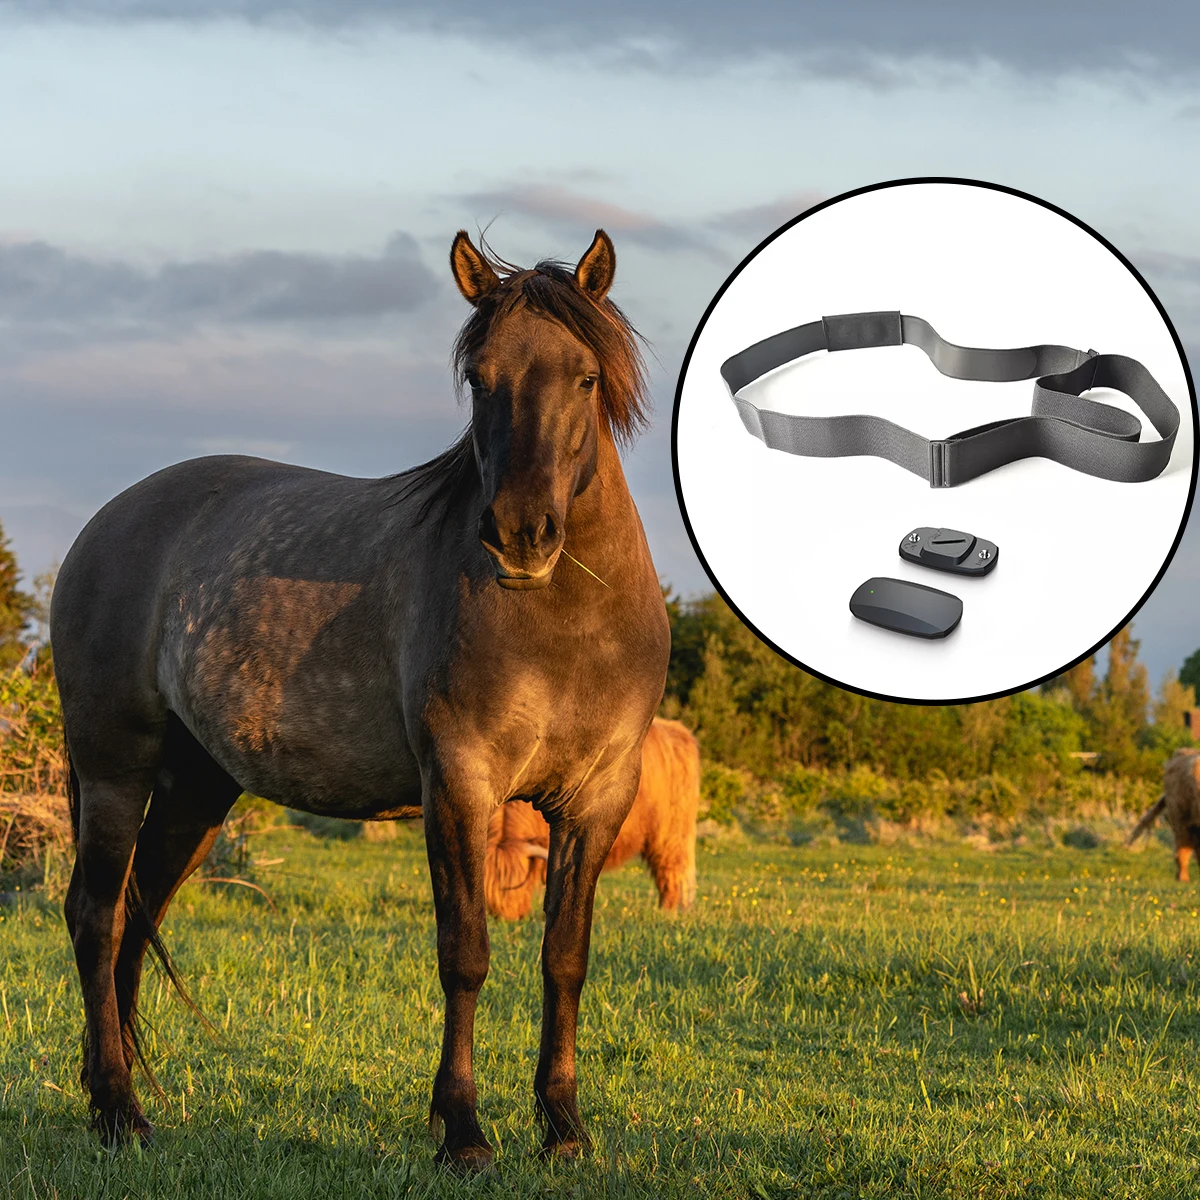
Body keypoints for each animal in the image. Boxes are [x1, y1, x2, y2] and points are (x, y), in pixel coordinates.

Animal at [50, 228, 671, 1171]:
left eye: (586, 377)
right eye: (480, 377)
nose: (520, 535)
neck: (568, 623)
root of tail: (107, 524)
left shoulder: (597, 800)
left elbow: (565, 959)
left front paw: (564, 1128)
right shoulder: (460, 786)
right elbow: (466, 954)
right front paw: (462, 1131)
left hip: (195, 791)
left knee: (133, 915)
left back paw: (114, 1105)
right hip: (115, 771)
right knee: (96, 919)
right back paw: (120, 1112)